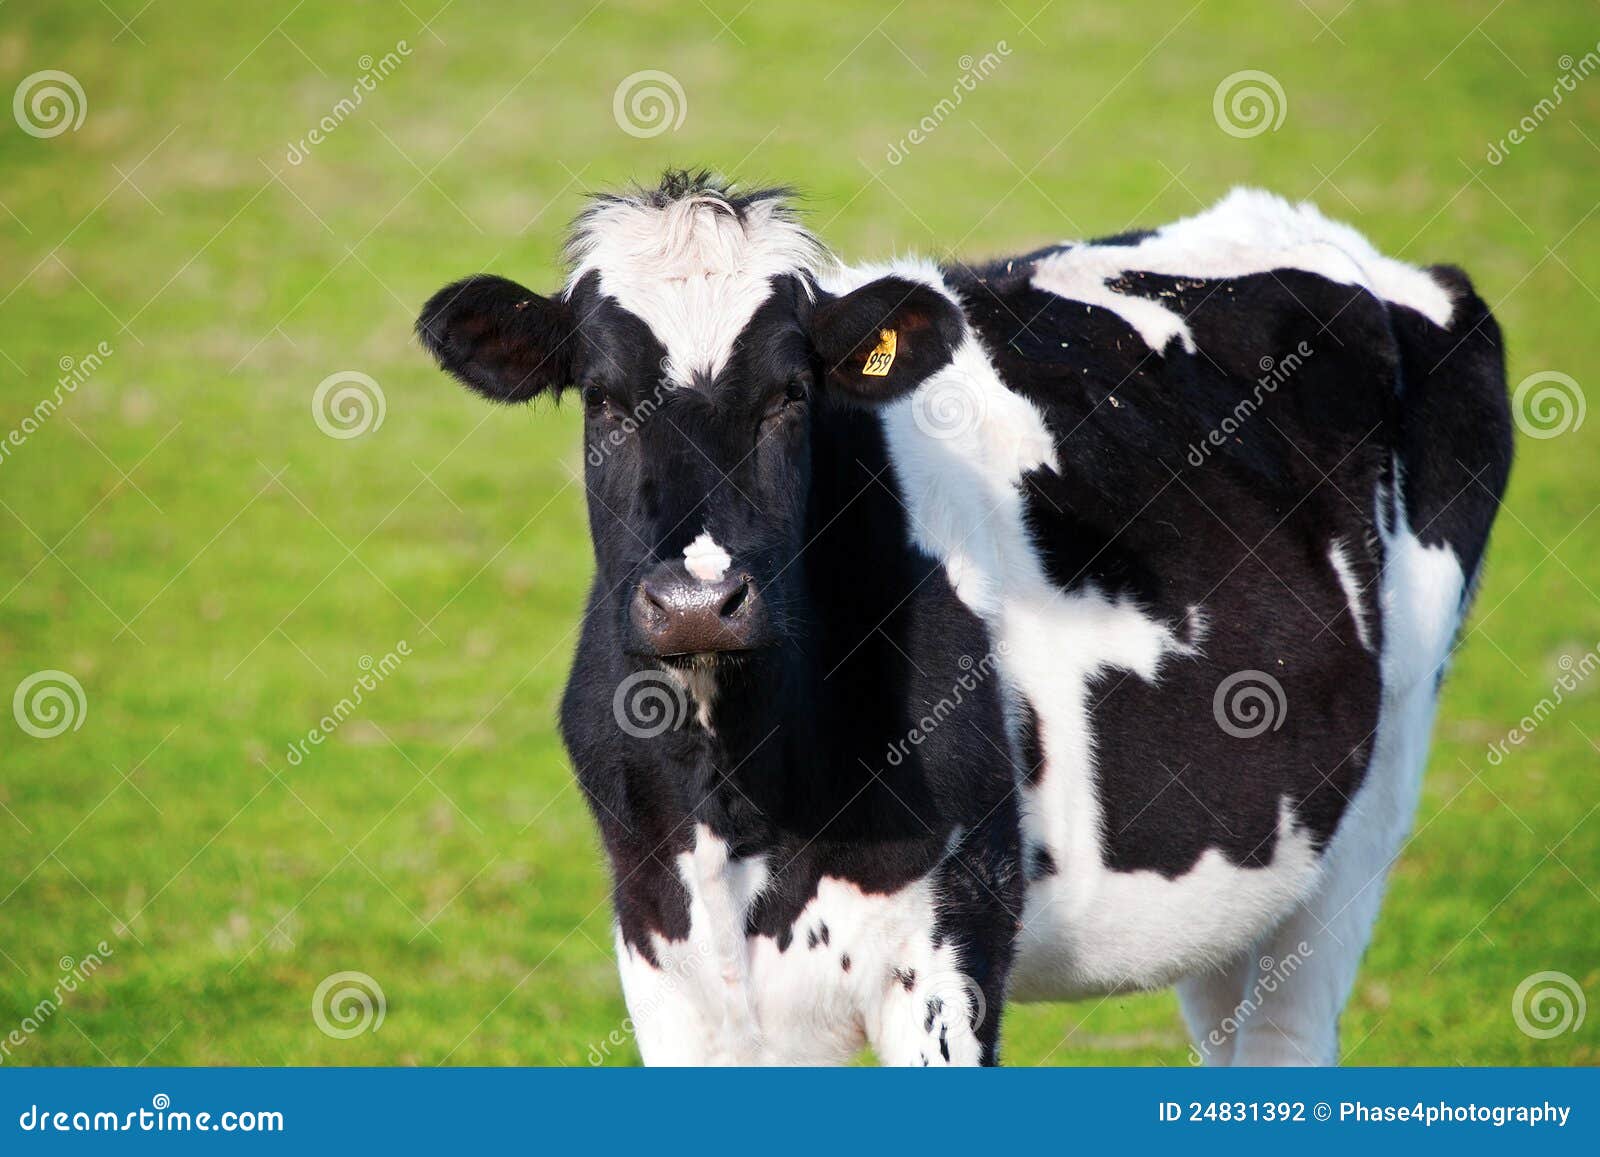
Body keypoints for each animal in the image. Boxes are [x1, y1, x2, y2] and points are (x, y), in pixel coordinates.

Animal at [416, 170, 1511, 1066]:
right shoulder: (663, 945)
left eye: (789, 394)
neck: (739, 793)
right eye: (603, 398)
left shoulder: (951, 939)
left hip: (1359, 824)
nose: (697, 602)